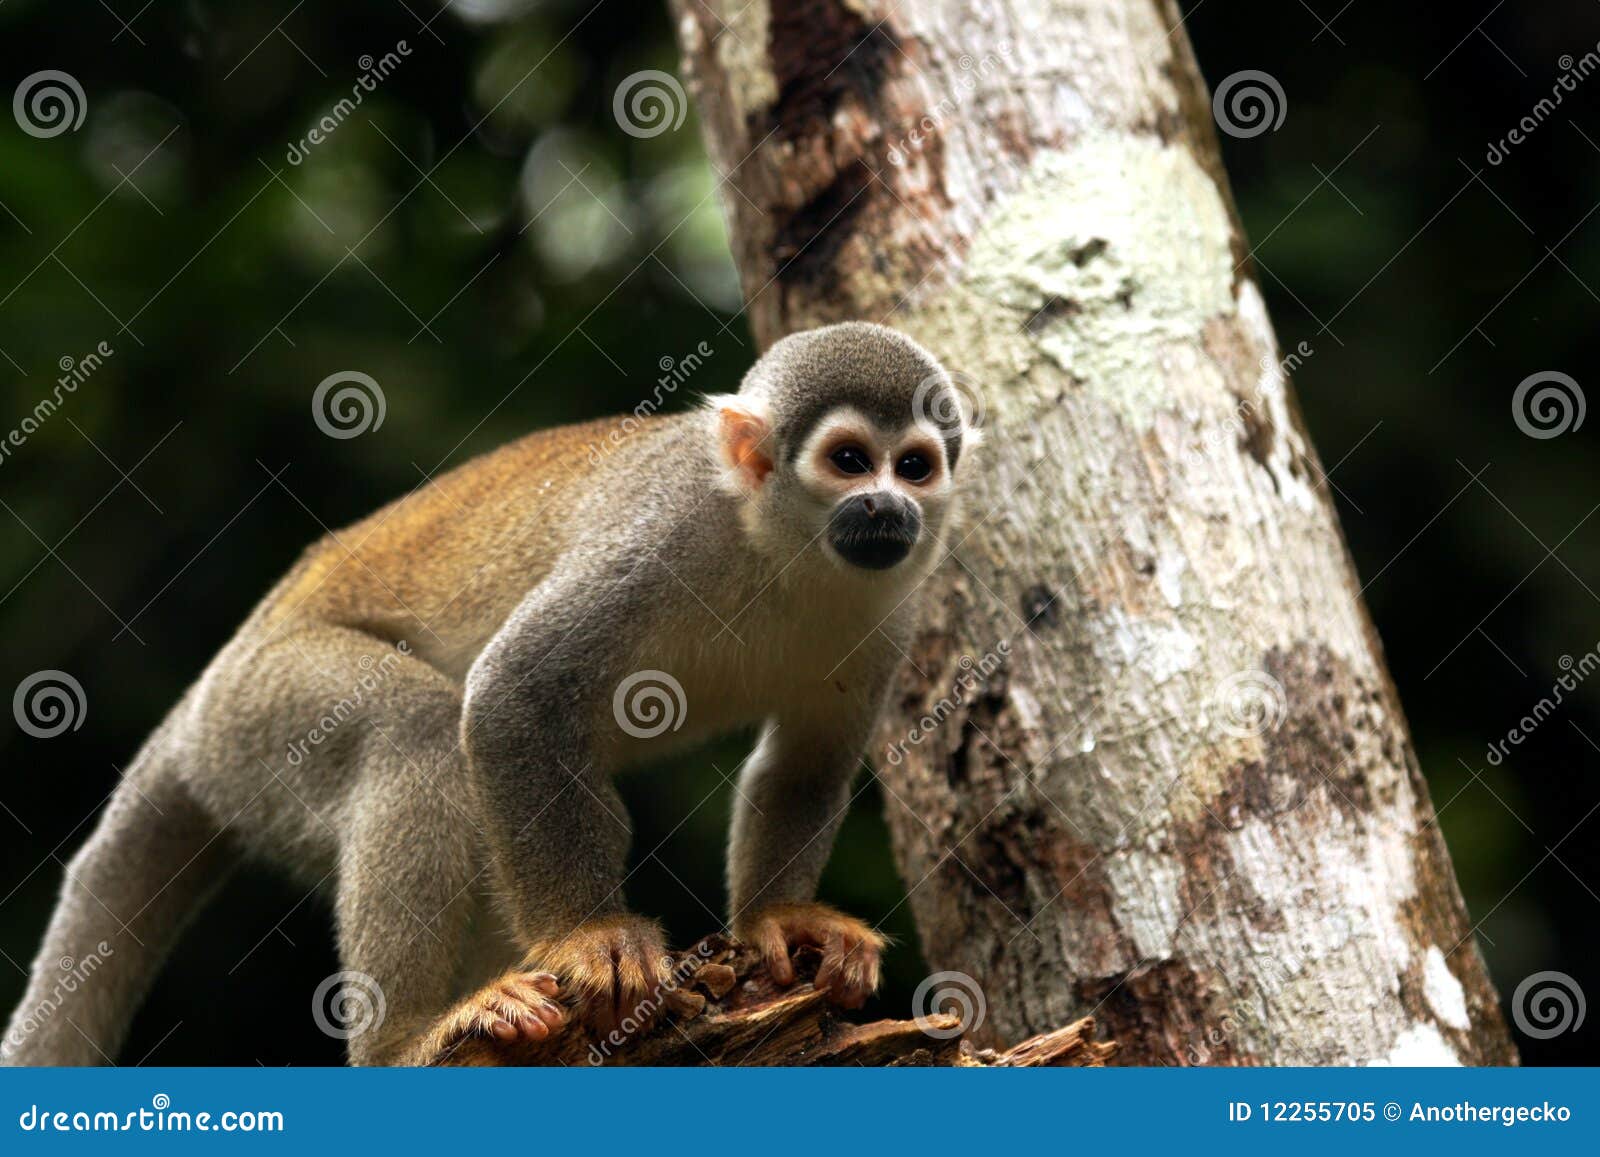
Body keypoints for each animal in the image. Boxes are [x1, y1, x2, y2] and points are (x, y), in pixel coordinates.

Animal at [2, 322, 976, 1066]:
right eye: (849, 460)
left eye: (914, 466)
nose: (889, 509)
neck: (778, 549)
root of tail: (209, 688)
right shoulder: (661, 537)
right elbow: (515, 689)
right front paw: (589, 937)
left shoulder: (894, 614)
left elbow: (804, 764)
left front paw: (783, 919)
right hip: (260, 717)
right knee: (416, 730)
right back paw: (405, 1040)